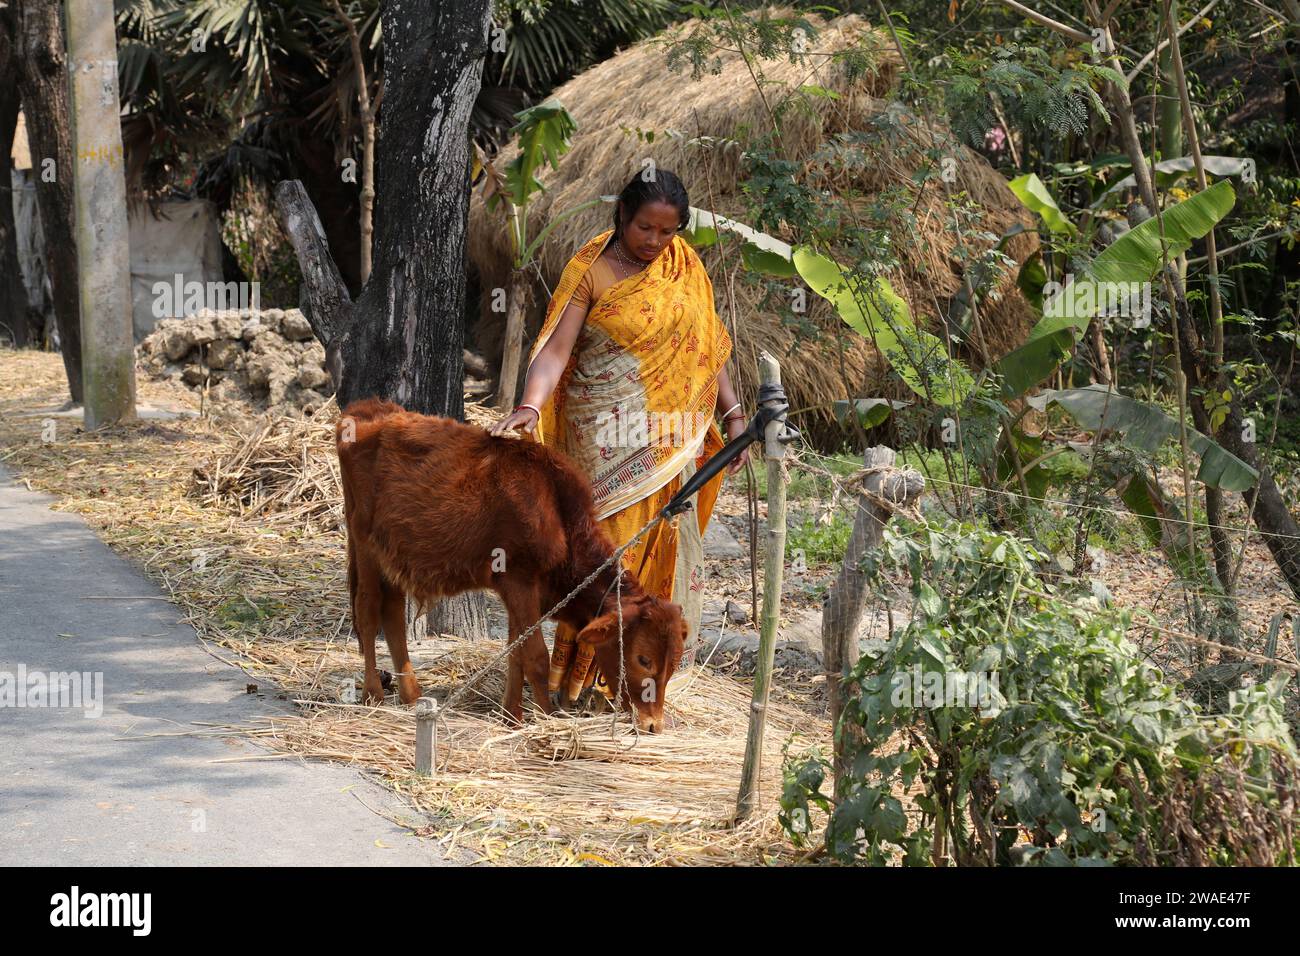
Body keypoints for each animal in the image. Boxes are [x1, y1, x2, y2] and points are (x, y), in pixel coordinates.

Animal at [334, 398, 687, 733]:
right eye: (643, 659)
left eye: (673, 663)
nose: (653, 725)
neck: (556, 507)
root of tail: (367, 409)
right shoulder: (519, 580)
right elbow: (535, 657)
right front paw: (546, 718)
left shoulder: (523, 589)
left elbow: (517, 652)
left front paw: (512, 717)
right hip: (364, 542)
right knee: (368, 610)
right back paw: (373, 695)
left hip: (392, 550)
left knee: (393, 611)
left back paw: (411, 695)